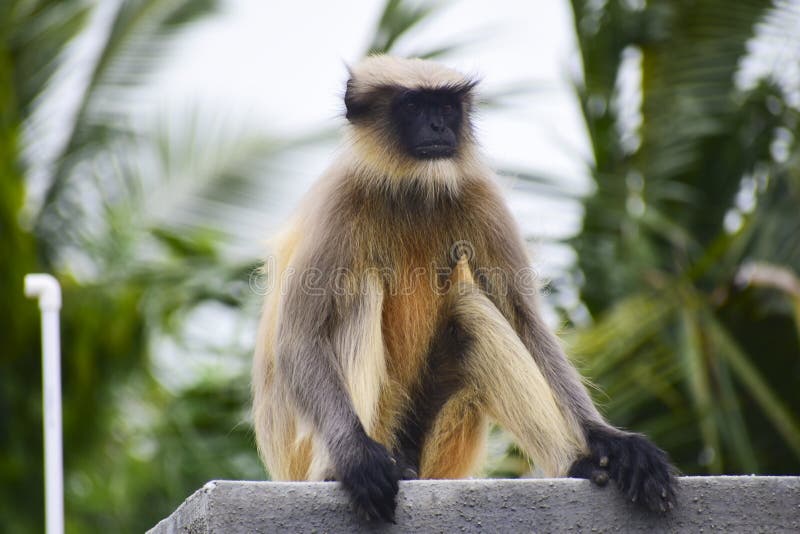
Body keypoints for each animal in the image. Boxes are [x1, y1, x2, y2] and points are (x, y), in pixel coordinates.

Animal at [252, 55, 676, 523]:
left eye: (447, 106)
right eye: (414, 106)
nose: (439, 126)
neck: (411, 189)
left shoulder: (481, 195)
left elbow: (525, 324)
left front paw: (608, 439)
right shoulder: (339, 199)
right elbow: (298, 338)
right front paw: (356, 458)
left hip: (440, 442)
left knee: (472, 308)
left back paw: (577, 464)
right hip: (309, 449)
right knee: (359, 289)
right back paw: (337, 470)